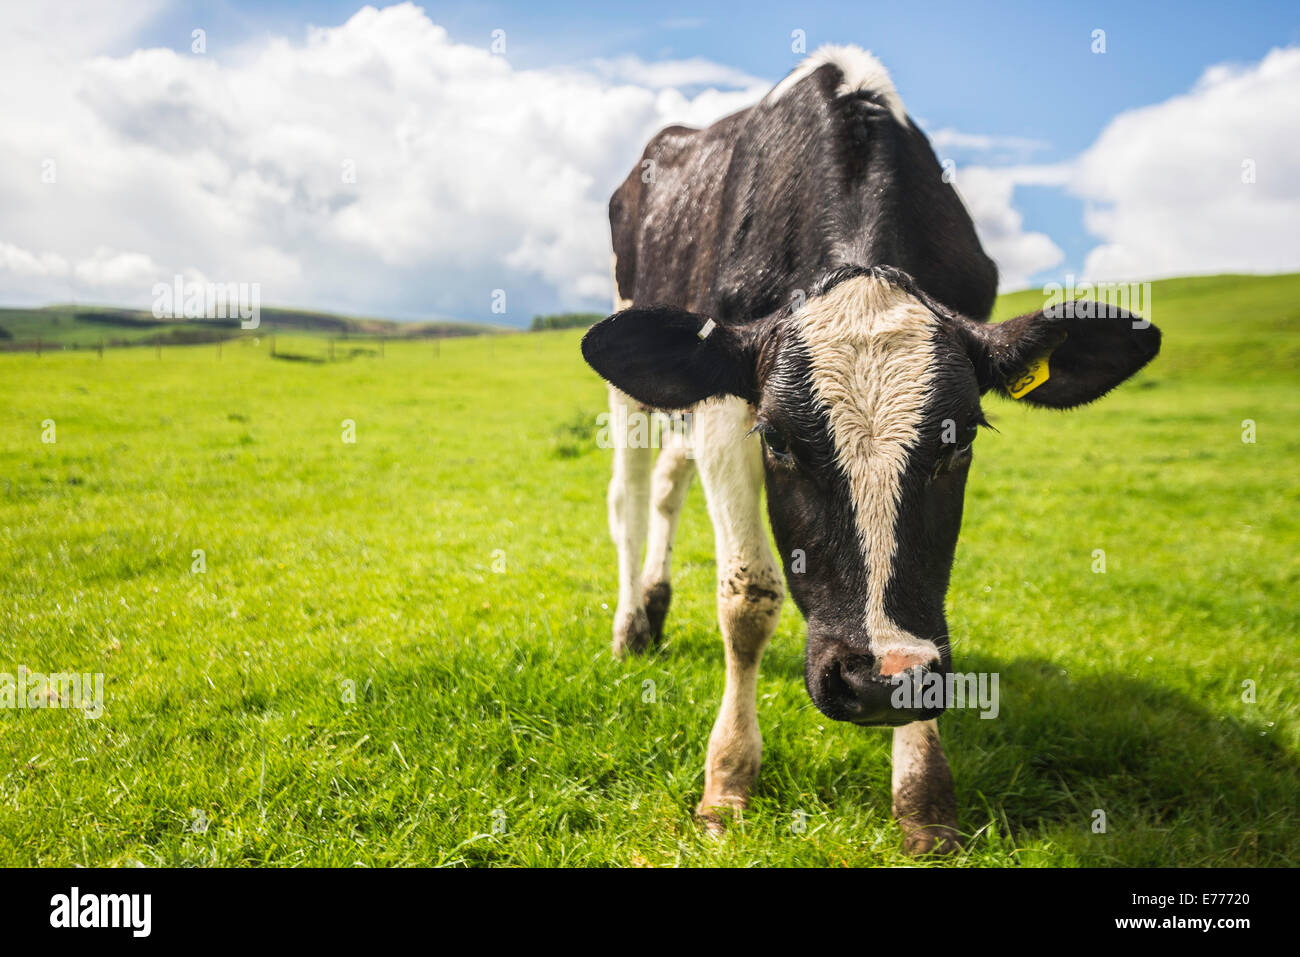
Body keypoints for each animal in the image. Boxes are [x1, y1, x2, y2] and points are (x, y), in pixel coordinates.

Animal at [581, 45, 1161, 854]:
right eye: (780, 441)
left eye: (961, 441)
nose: (881, 680)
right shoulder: (729, 403)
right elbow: (746, 596)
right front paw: (727, 780)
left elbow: (926, 593)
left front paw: (923, 796)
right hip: (633, 378)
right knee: (630, 500)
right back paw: (632, 624)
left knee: (668, 481)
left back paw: (657, 605)